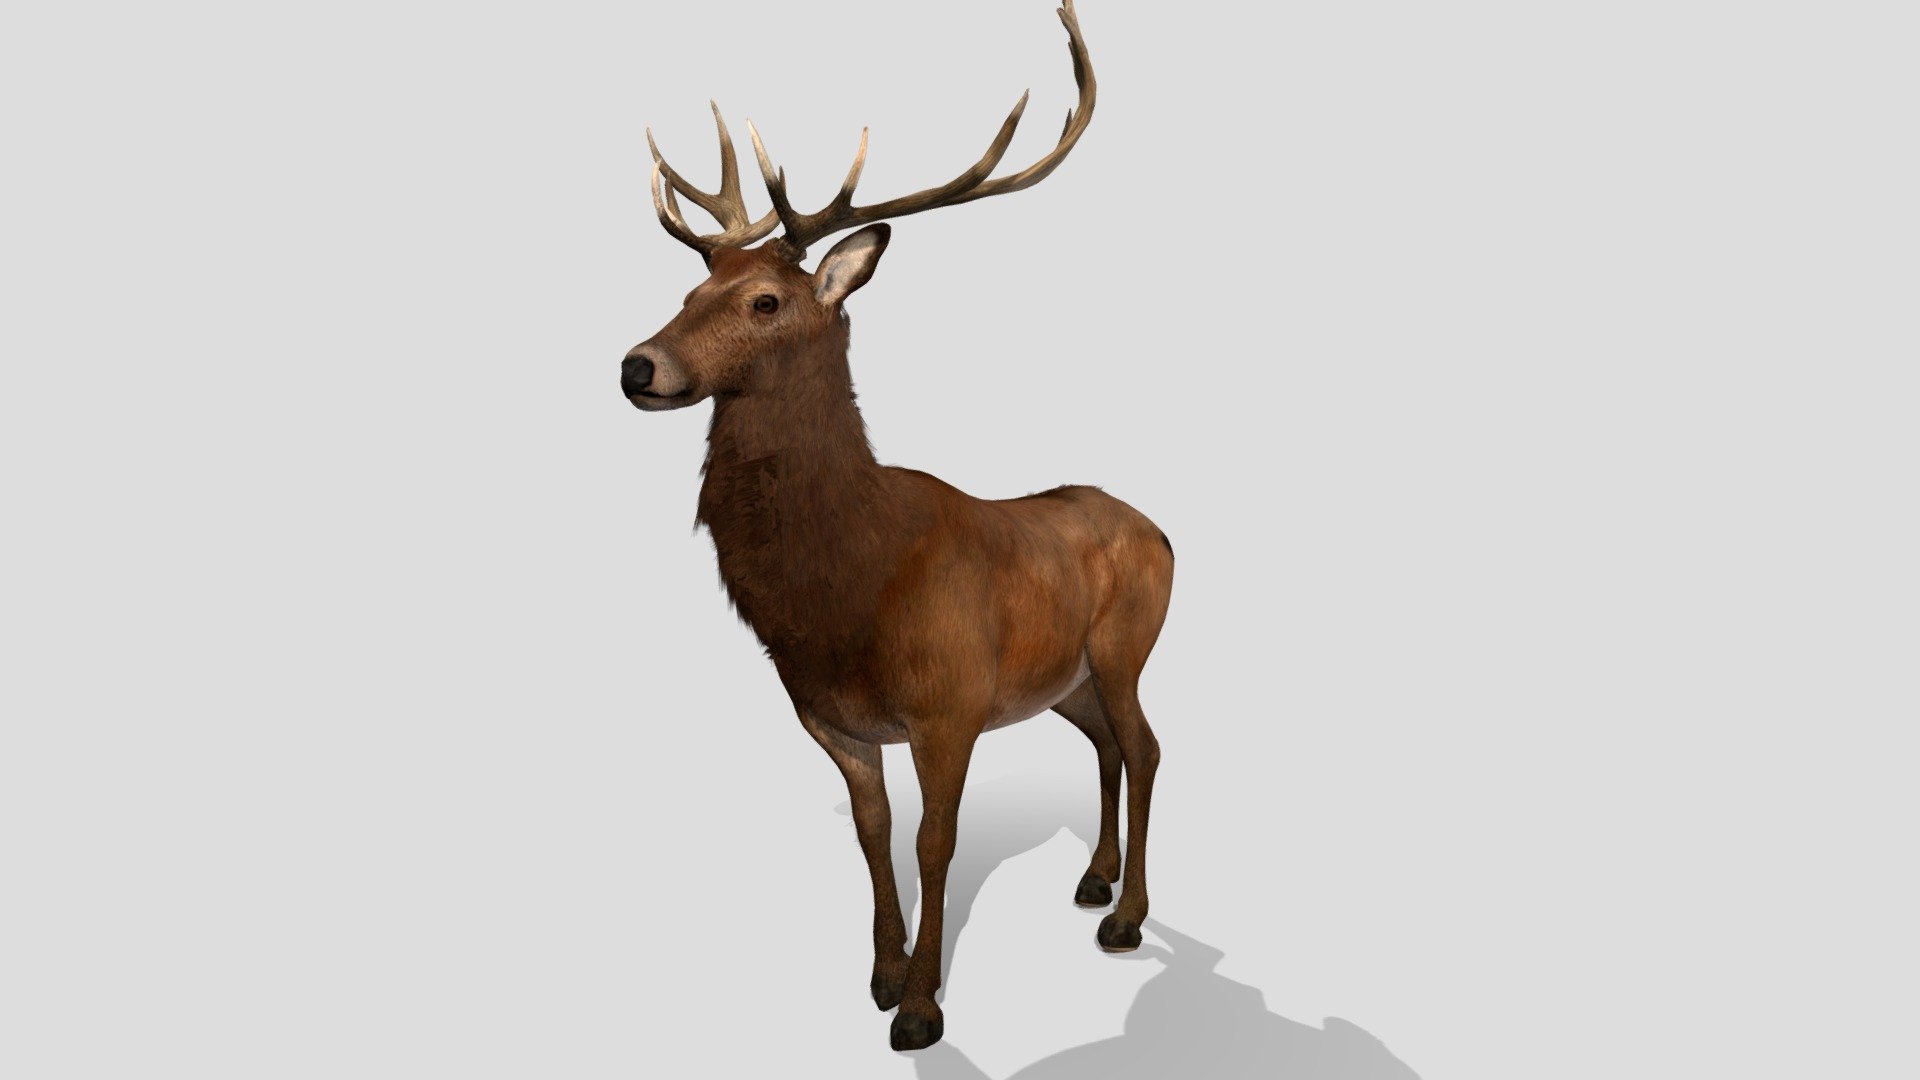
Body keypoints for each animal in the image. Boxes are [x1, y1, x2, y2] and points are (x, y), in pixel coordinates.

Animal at [620, 2, 1171, 1051]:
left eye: (765, 300)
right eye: (686, 294)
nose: (637, 366)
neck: (845, 592)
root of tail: (1162, 529)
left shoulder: (949, 701)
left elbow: (935, 839)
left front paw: (921, 1008)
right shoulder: (831, 717)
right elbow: (874, 835)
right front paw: (879, 975)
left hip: (1127, 644)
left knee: (1147, 747)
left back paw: (1125, 919)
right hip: (1065, 675)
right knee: (1106, 746)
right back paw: (1092, 882)